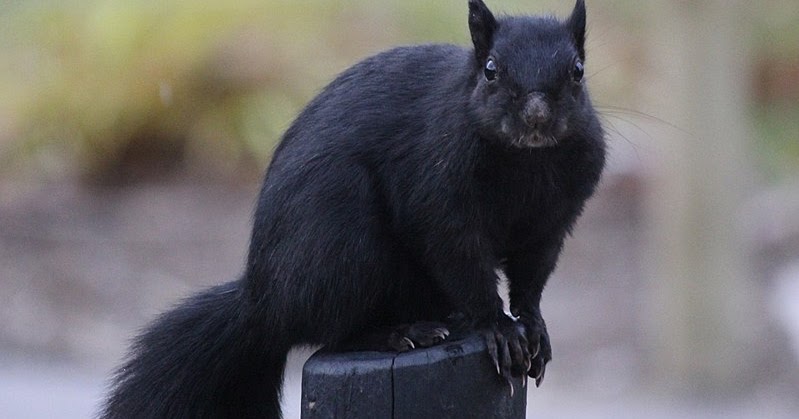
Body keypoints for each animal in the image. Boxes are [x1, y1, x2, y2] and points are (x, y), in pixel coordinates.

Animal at [101, 1, 605, 418]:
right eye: (491, 70)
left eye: (578, 70)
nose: (537, 116)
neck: (527, 161)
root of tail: (261, 304)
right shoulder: (438, 199)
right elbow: (463, 263)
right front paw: (498, 327)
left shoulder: (553, 222)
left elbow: (530, 278)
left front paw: (533, 326)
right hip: (341, 240)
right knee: (333, 330)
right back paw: (400, 334)